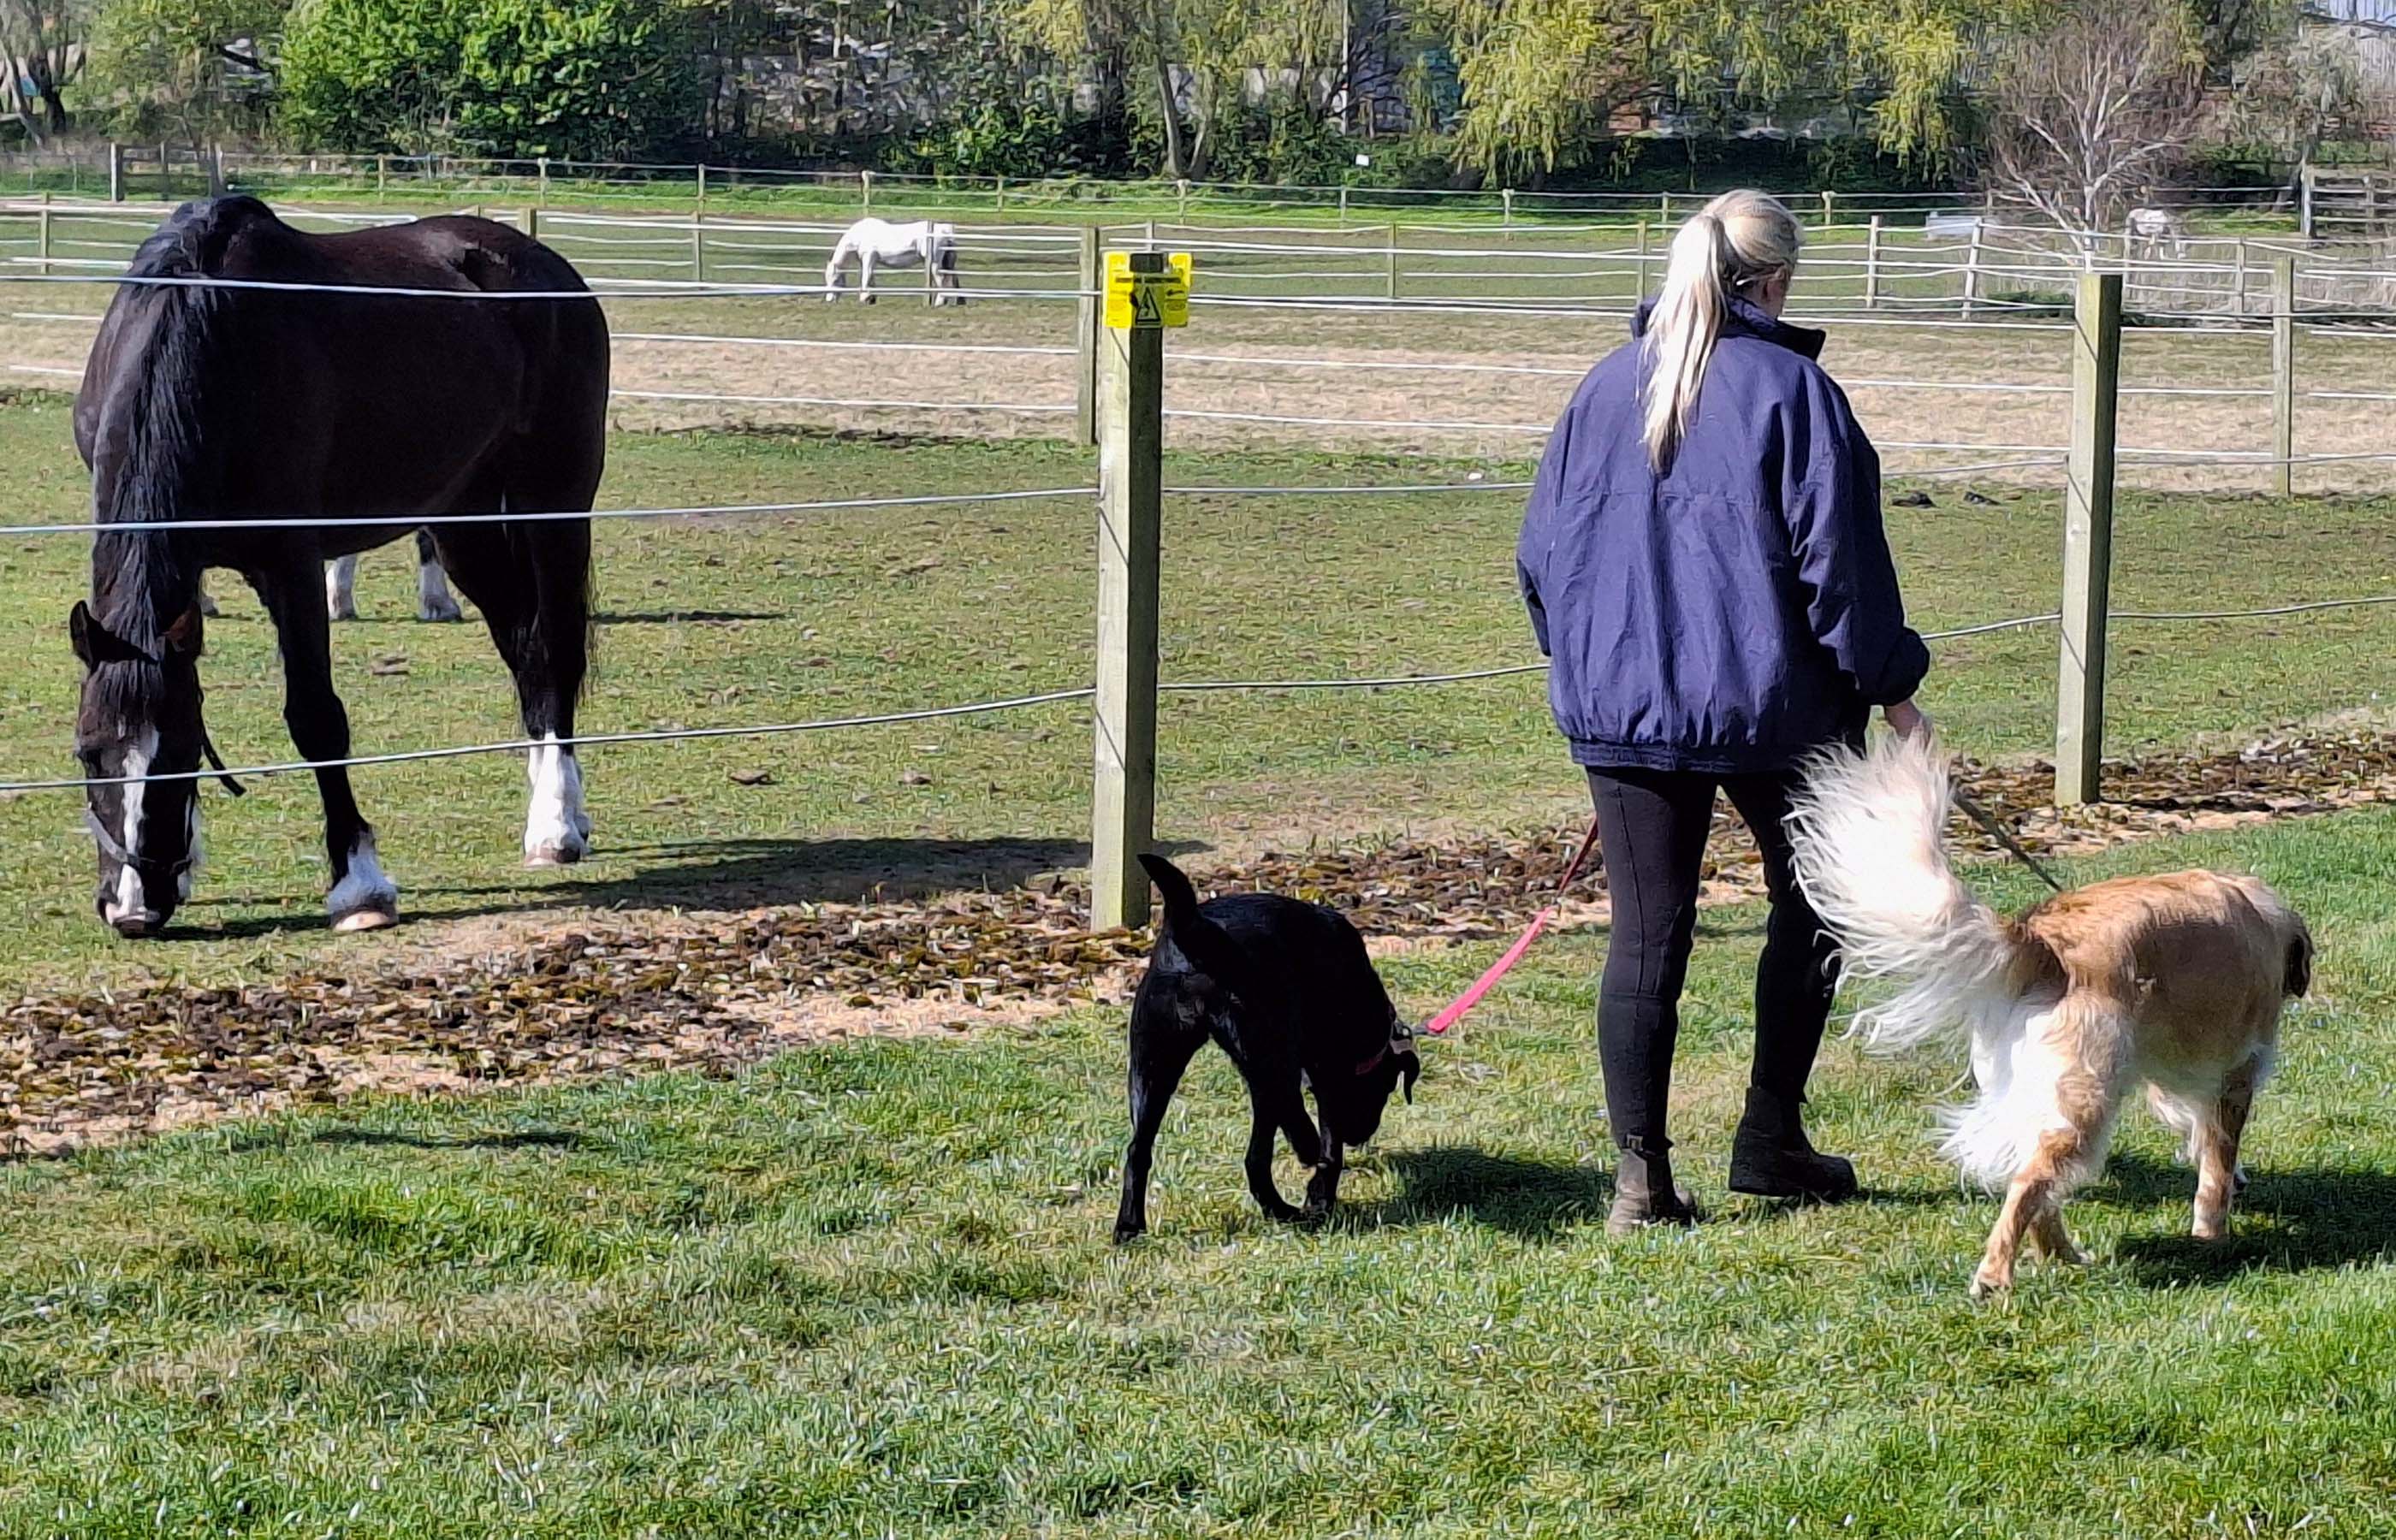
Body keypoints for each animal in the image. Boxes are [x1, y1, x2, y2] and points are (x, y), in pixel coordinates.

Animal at [70, 195, 607, 939]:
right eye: (89, 752)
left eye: (176, 756)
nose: (130, 911)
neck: (214, 335)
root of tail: (544, 267)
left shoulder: (291, 562)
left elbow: (315, 717)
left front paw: (359, 885)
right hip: (463, 521)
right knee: (524, 650)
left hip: (552, 508)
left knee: (554, 650)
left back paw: (555, 824)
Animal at [823, 217, 963, 305]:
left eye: (835, 280)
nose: (829, 300)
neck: (860, 236)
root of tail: (944, 231)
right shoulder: (870, 261)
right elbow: (870, 277)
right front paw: (871, 299)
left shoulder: (868, 257)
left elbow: (865, 277)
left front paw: (863, 298)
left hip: (934, 264)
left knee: (941, 280)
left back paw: (940, 302)